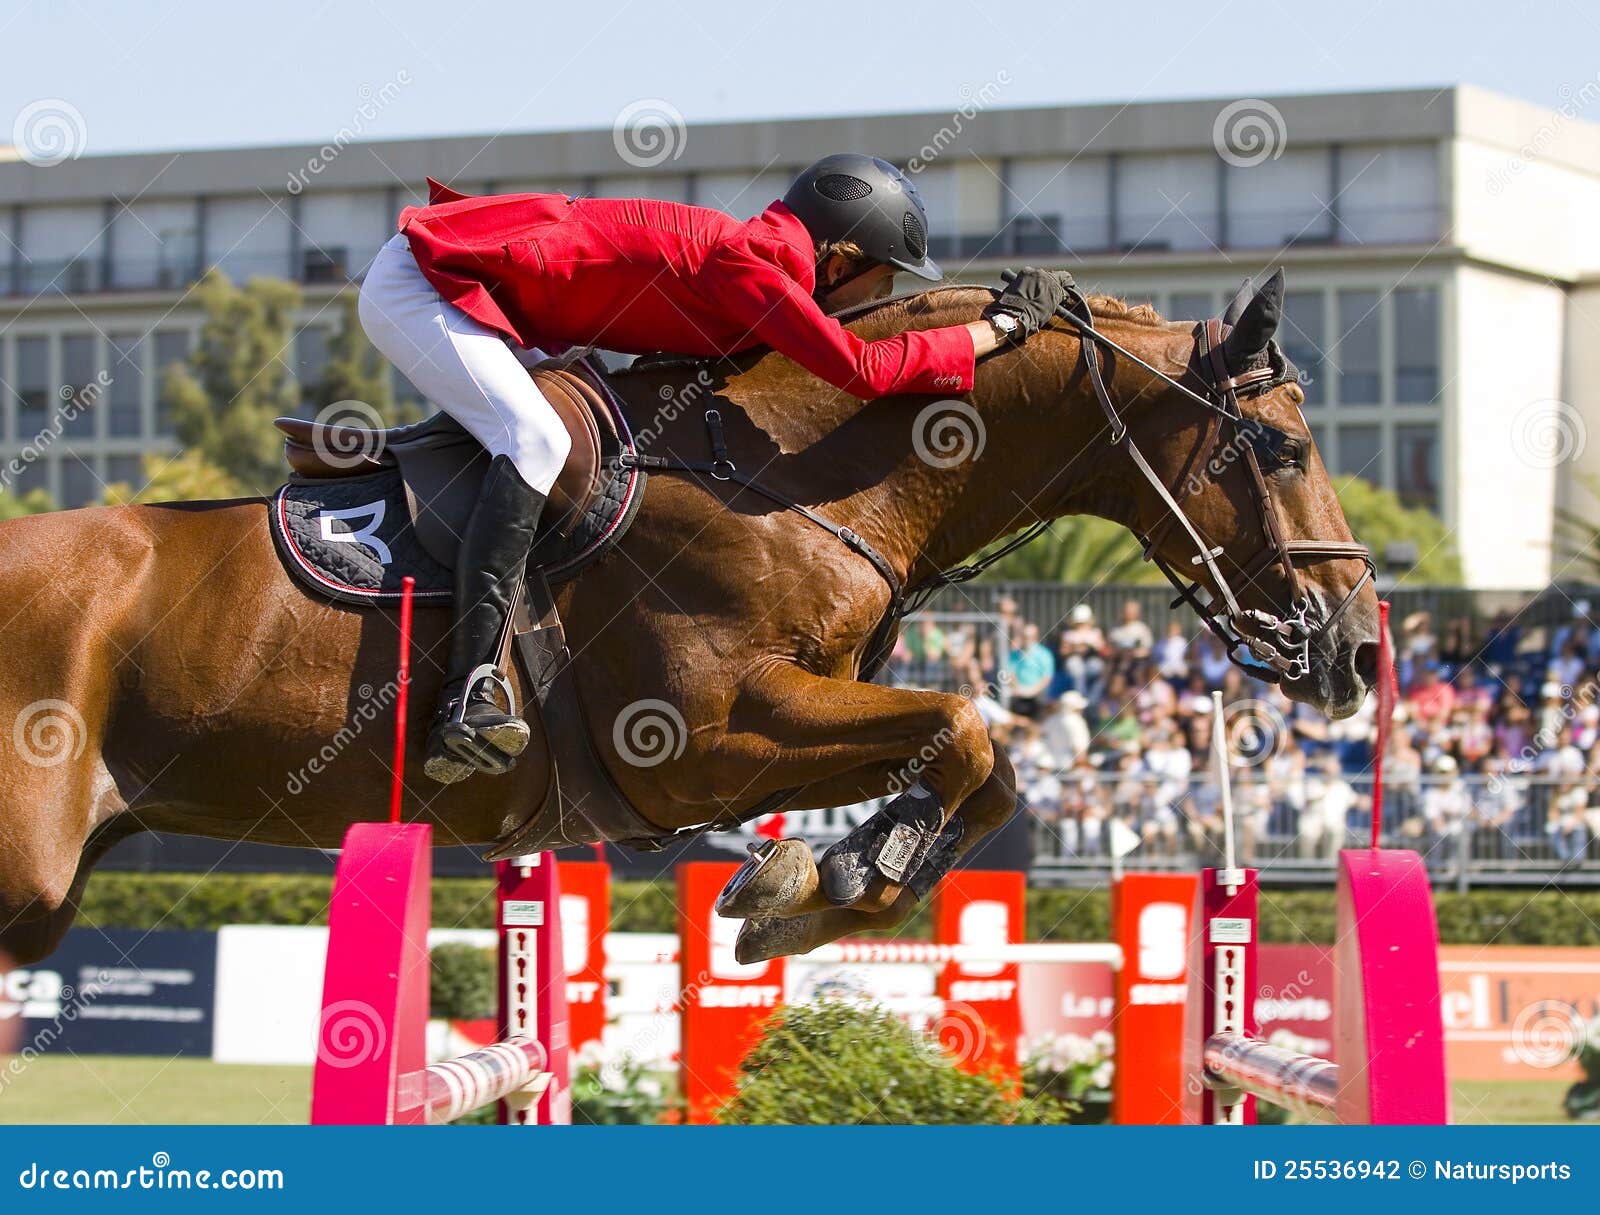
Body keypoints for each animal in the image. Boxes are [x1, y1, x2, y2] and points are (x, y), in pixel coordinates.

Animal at [0, 269, 1376, 966]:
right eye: (1284, 445)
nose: (1360, 650)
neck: (790, 477)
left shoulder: (783, 726)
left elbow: (979, 765)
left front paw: (833, 876)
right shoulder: (697, 742)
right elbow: (968, 725)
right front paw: (814, 877)